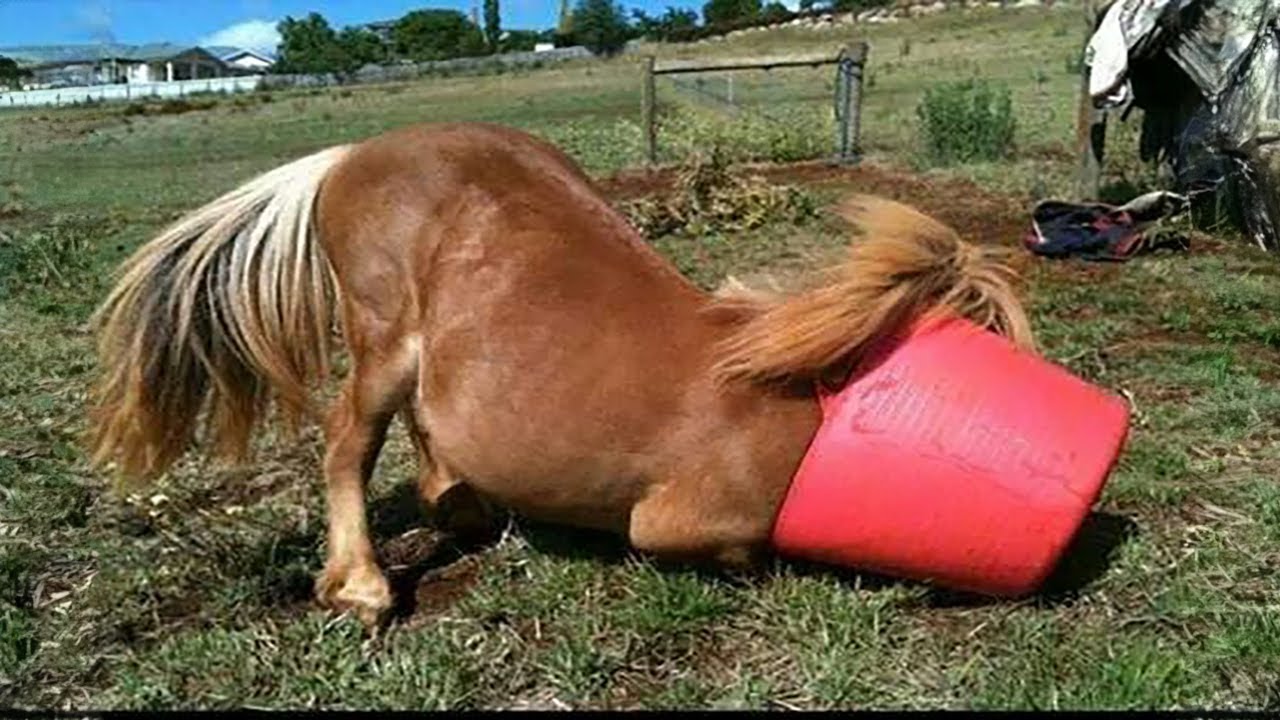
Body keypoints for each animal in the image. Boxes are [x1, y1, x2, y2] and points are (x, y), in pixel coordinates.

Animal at [88, 122, 1035, 629]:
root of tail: (351, 154)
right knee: (348, 441)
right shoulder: (677, 523)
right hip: (381, 337)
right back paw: (361, 584)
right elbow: (739, 555)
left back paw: (462, 505)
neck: (799, 399)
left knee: (427, 424)